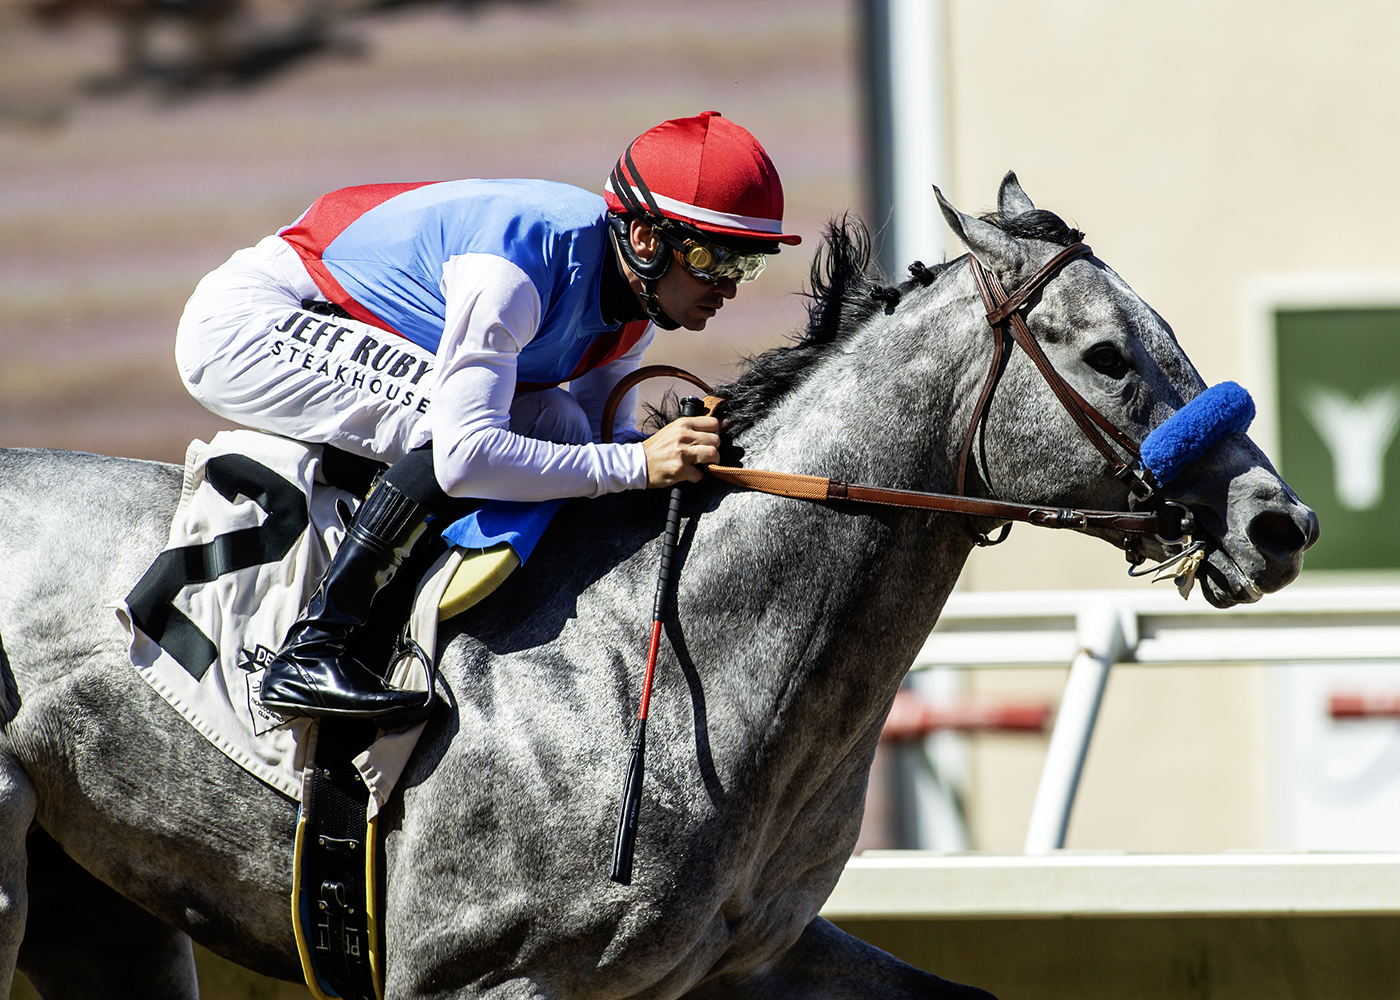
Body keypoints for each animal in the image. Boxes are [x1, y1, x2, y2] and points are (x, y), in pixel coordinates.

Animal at [0, 175, 1317, 999]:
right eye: (1104, 353)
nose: (1278, 522)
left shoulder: (750, 957)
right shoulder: (481, 971)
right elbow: (468, 434)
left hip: (95, 900)